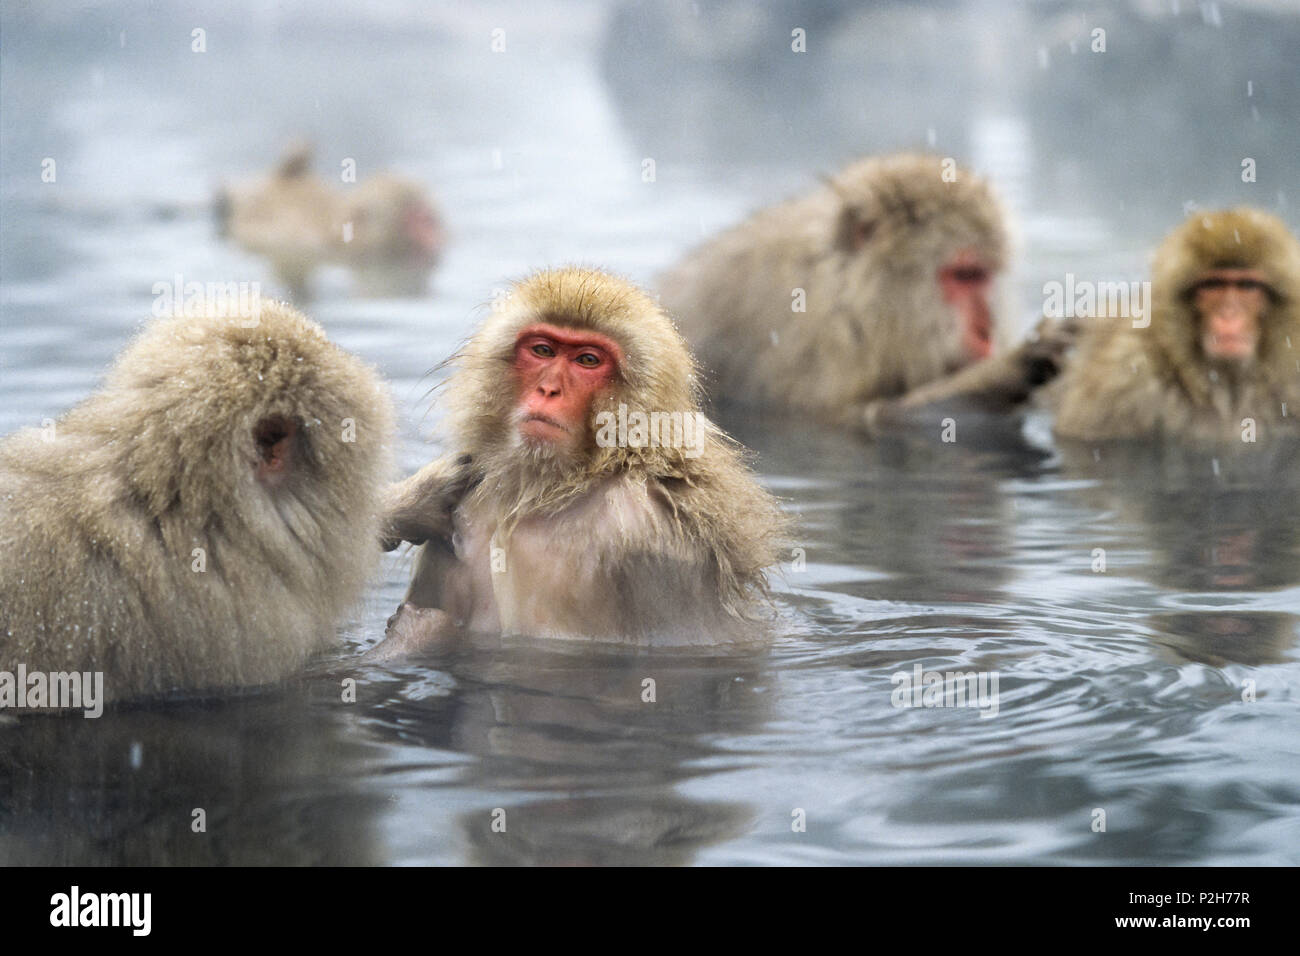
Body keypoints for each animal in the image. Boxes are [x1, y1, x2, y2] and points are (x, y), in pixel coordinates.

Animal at [371, 269, 785, 658]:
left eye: (588, 360)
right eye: (543, 350)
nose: (548, 389)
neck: (558, 487)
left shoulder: (647, 537)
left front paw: (419, 630)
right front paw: (415, 502)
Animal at [655, 152, 1071, 429]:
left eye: (985, 276)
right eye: (963, 275)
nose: (987, 329)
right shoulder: (813, 346)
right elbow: (862, 419)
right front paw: (1000, 376)